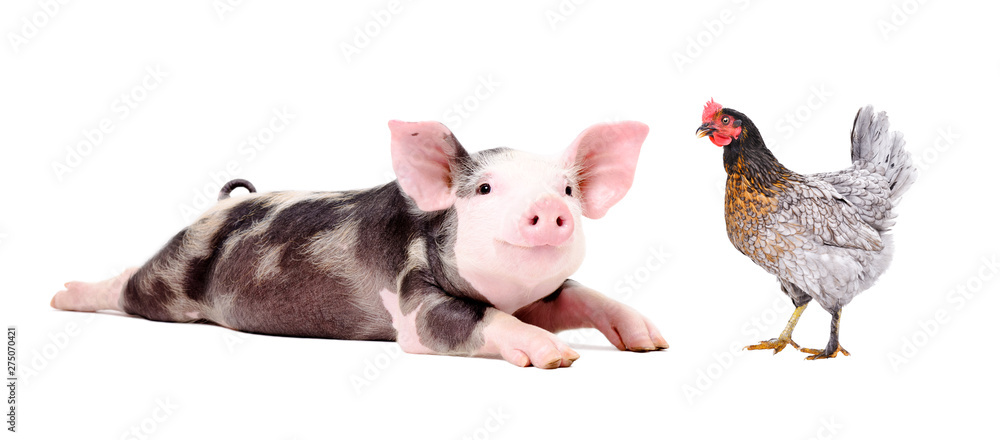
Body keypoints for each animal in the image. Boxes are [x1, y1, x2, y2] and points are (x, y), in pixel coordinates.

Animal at [51, 120, 668, 368]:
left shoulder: (540, 294)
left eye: (566, 189)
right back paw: (63, 296)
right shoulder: (414, 302)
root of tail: (219, 207)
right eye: (485, 189)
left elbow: (578, 294)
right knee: (129, 287)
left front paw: (652, 342)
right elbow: (469, 320)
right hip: (171, 277)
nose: (550, 209)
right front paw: (557, 357)